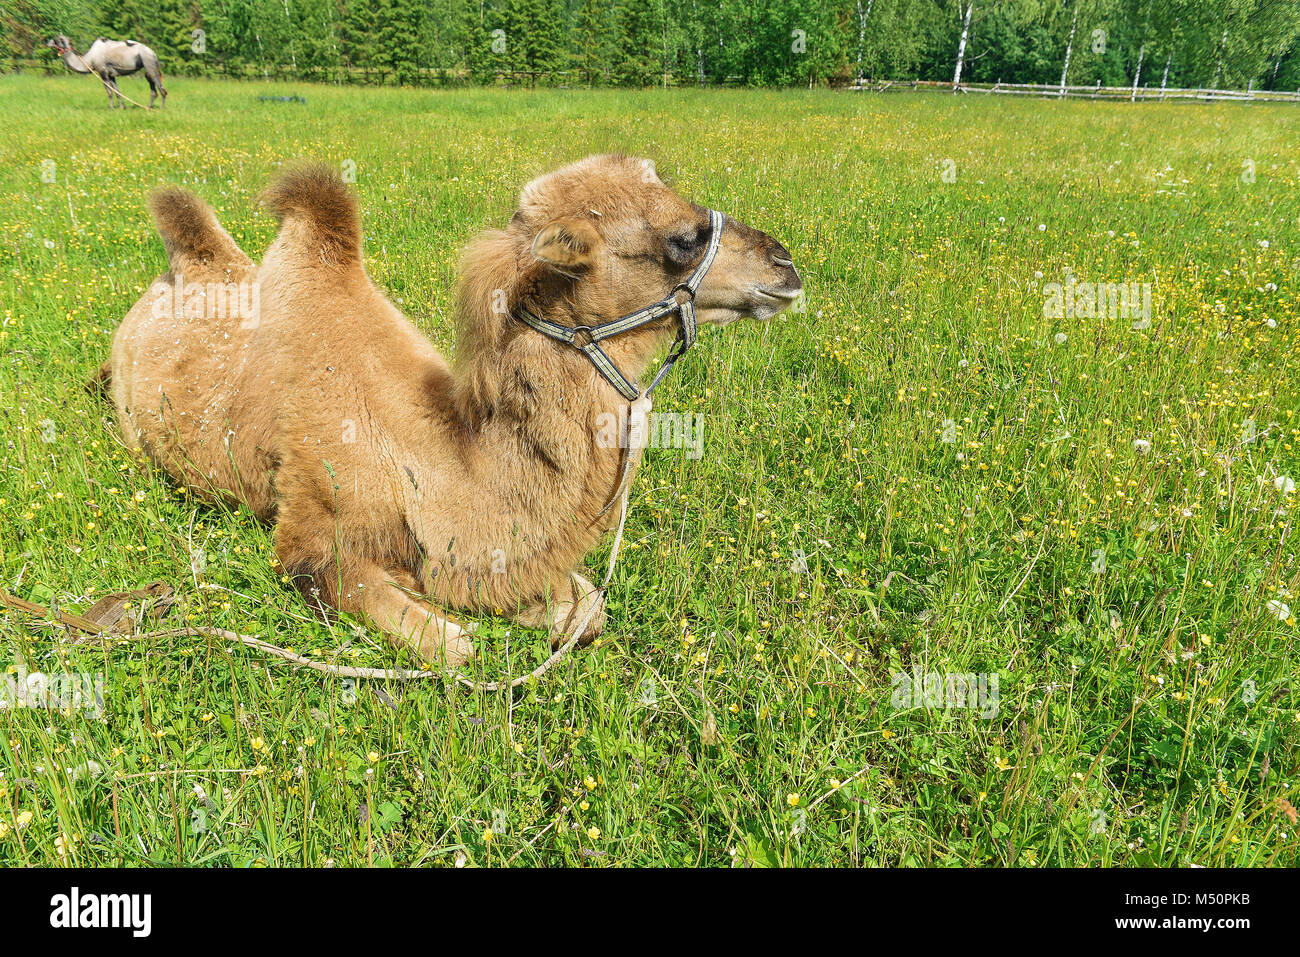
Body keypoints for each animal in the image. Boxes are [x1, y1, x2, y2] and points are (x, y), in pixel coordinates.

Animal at [100, 156, 802, 668]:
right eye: (682, 240)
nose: (786, 265)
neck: (439, 466)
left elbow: (586, 609)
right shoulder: (312, 530)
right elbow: (450, 644)